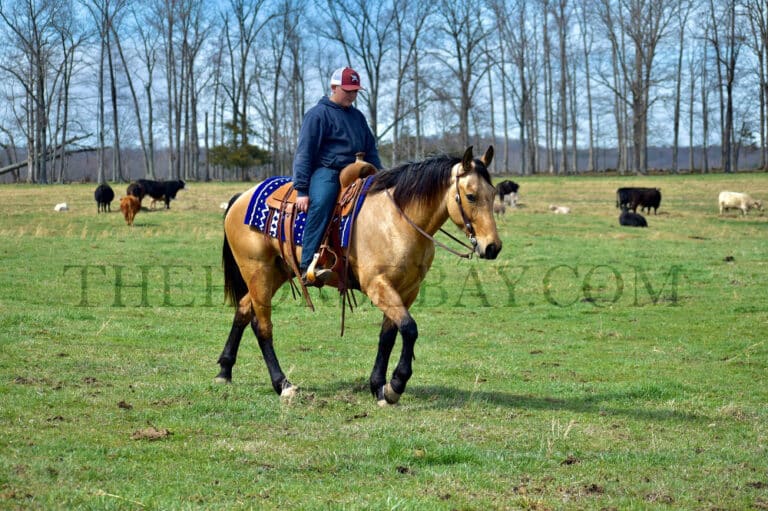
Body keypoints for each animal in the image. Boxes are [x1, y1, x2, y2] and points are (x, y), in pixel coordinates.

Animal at [216, 146, 502, 406]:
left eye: (493, 194)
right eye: (471, 196)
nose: (492, 247)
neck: (397, 220)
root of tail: (242, 196)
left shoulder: (407, 289)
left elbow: (388, 335)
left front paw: (378, 386)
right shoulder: (378, 285)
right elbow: (409, 329)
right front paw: (395, 385)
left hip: (276, 272)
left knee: (244, 309)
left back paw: (224, 370)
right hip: (258, 272)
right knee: (262, 325)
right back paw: (283, 384)